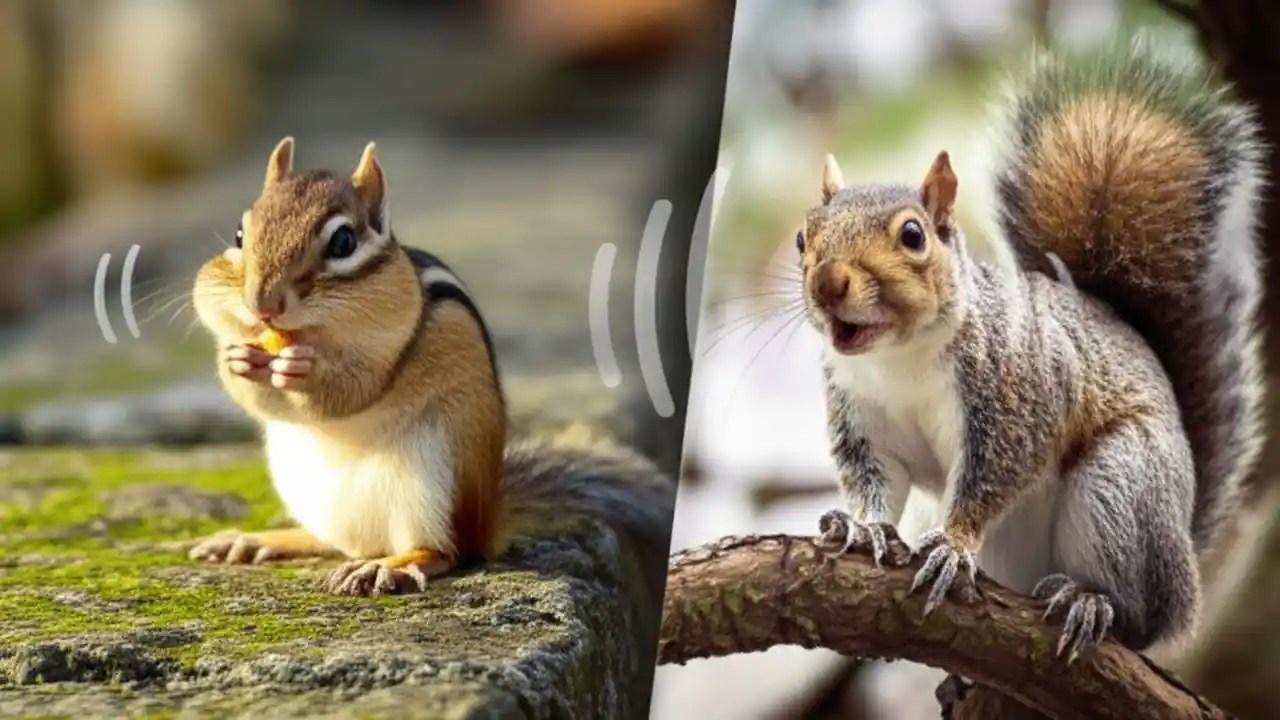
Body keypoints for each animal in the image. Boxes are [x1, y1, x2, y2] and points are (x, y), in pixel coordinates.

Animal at [188, 137, 674, 597]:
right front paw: (236, 359)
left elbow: (353, 390)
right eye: (239, 234)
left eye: (343, 242)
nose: (263, 305)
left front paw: (302, 368)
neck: (314, 334)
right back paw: (258, 541)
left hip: (433, 484)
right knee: (335, 541)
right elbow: (261, 397)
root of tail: (487, 523)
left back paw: (386, 567)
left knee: (446, 552)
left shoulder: (391, 346)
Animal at [805, 44, 1264, 661]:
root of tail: (1184, 563)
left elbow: (991, 480)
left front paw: (953, 547)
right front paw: (865, 527)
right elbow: (874, 478)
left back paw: (1090, 602)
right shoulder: (861, 420)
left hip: (1122, 487)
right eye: (804, 238)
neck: (898, 358)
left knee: (1137, 613)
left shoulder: (1018, 397)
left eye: (913, 235)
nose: (826, 284)